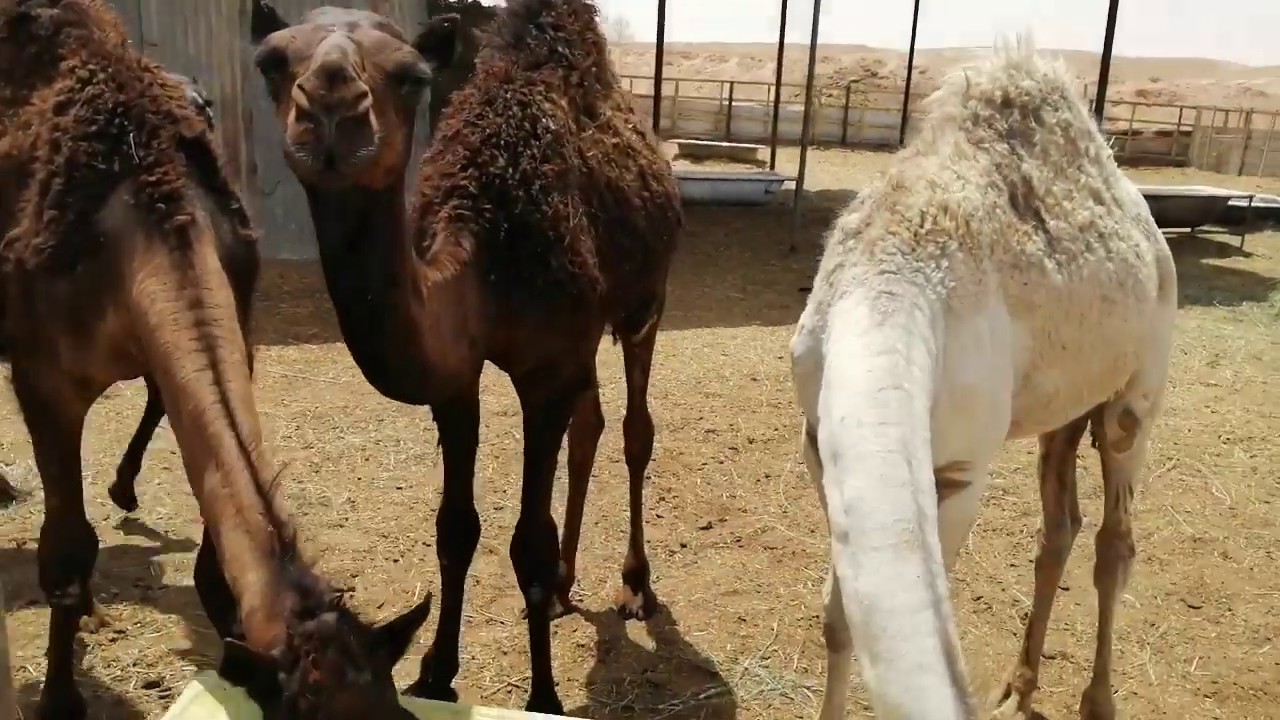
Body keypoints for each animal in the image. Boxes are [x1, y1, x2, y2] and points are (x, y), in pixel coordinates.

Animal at [0, 2, 434, 717]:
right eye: (298, 713)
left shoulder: (234, 319)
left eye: (395, 707)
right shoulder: (45, 379)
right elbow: (67, 553)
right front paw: (61, 697)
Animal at [248, 0, 682, 711]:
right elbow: (456, 528)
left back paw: (634, 586)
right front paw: (435, 672)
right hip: (583, 339)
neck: (488, 246)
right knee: (589, 427)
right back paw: (566, 585)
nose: (332, 104)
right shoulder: (460, 377)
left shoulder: (544, 375)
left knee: (634, 430)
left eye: (412, 77)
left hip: (645, 302)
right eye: (271, 62)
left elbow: (526, 543)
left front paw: (543, 698)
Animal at [789, 37, 1175, 720]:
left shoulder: (958, 472)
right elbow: (839, 621)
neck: (891, 284)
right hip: (1061, 405)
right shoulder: (824, 448)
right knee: (1060, 526)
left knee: (1116, 534)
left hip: (1142, 378)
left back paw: (1097, 700)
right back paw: (1019, 684)